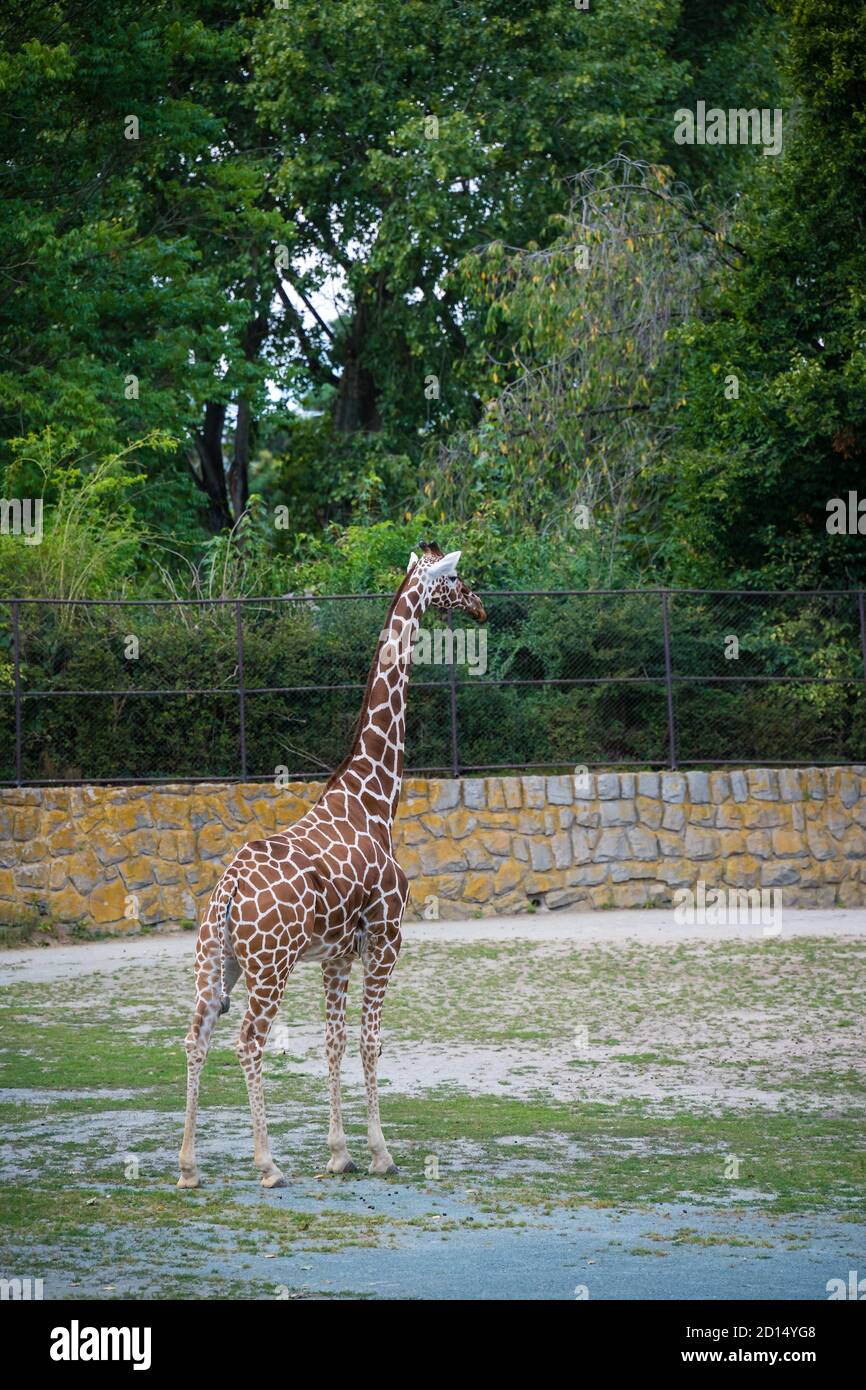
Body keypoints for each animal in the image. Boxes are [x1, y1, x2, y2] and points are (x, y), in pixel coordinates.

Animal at [178, 542, 486, 1188]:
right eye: (456, 578)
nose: (480, 606)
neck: (375, 797)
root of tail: (226, 893)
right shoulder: (387, 939)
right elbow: (370, 1042)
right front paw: (380, 1153)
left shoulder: (337, 954)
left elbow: (334, 1043)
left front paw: (339, 1153)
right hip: (270, 966)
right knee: (248, 1041)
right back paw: (267, 1164)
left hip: (217, 962)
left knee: (197, 1038)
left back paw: (188, 1166)